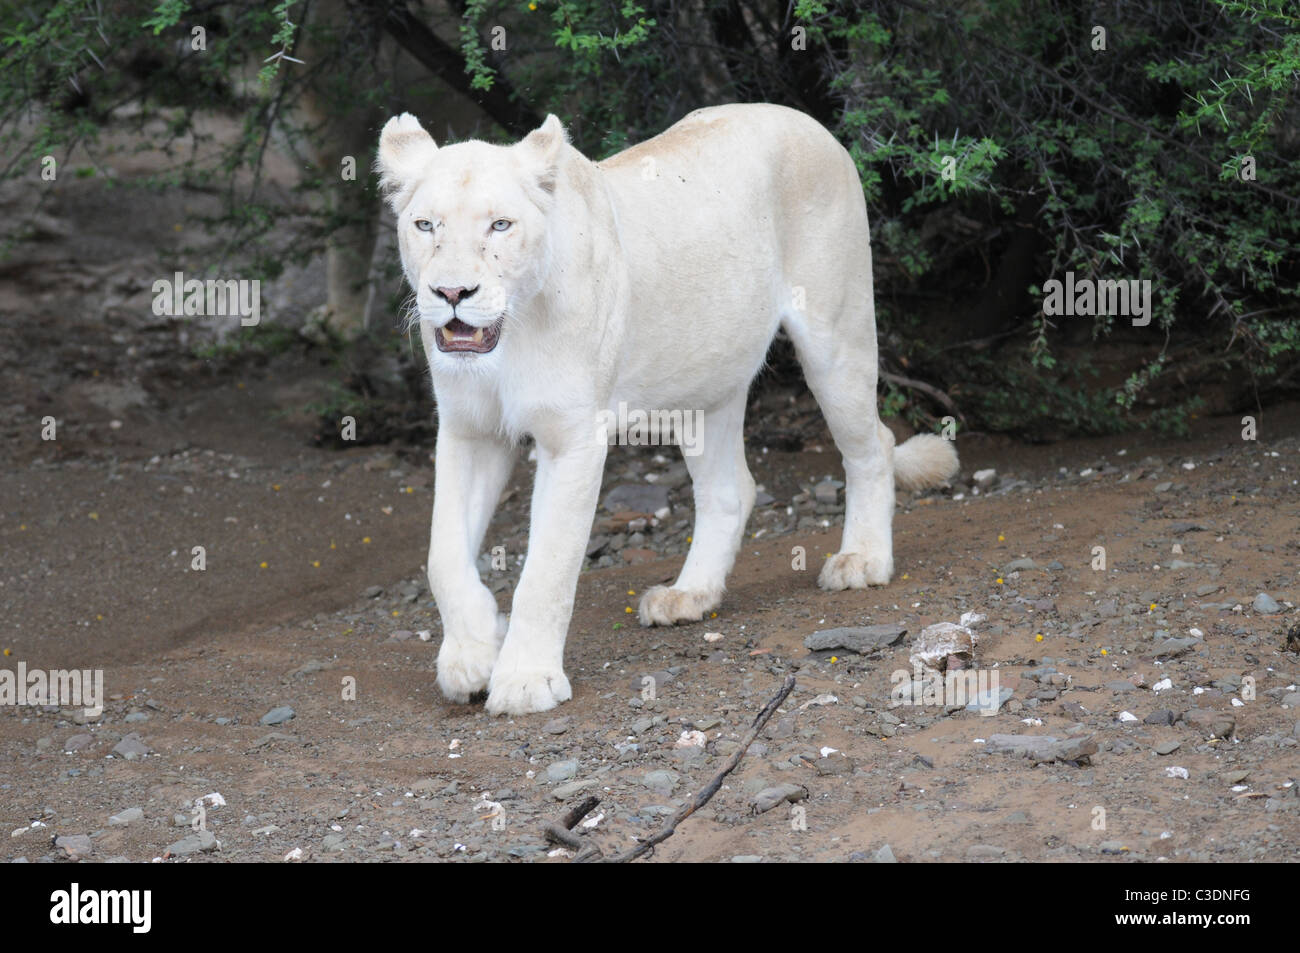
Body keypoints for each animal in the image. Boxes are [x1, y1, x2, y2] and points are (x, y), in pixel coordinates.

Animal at [376, 103, 959, 715]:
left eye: (501, 226)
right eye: (425, 226)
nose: (452, 294)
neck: (509, 337)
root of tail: (807, 121)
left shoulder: (573, 439)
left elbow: (547, 568)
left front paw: (525, 680)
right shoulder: (469, 431)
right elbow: (442, 556)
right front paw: (471, 657)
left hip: (836, 339)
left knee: (873, 447)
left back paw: (863, 561)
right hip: (706, 387)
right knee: (731, 489)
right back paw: (690, 594)